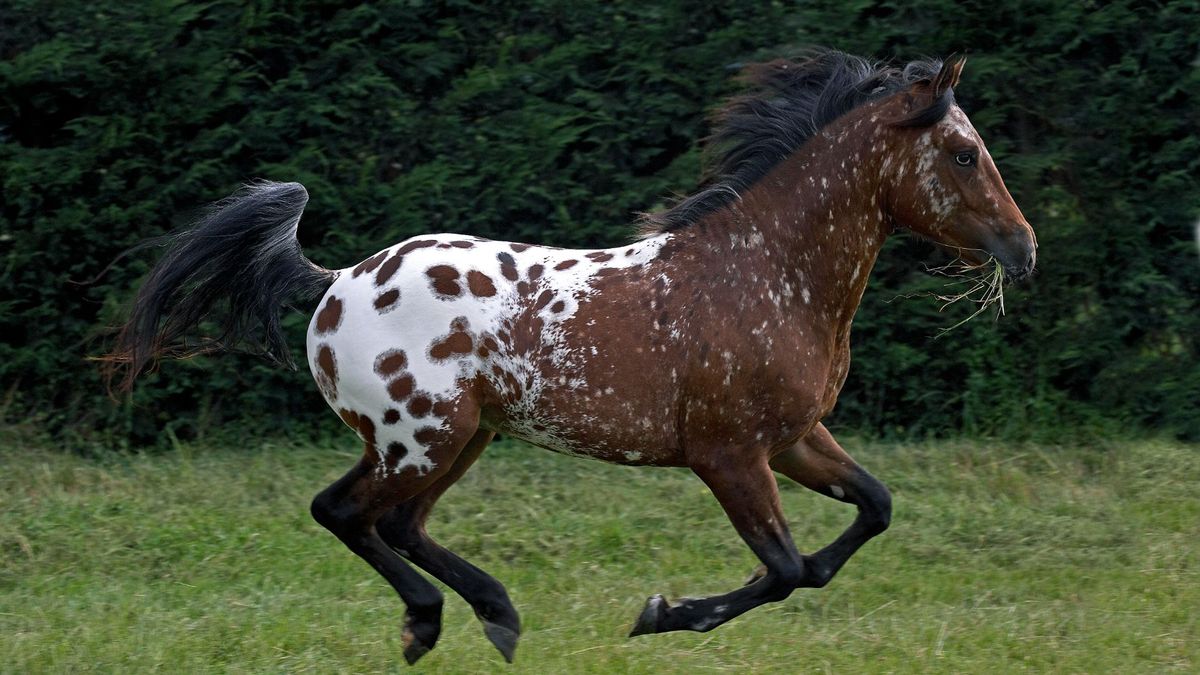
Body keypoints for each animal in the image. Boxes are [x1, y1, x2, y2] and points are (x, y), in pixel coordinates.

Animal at [106, 50, 1037, 664]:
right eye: (963, 152)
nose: (1022, 248)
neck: (767, 272)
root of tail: (336, 281)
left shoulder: (796, 437)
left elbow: (870, 511)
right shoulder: (729, 454)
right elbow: (785, 567)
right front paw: (661, 614)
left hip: (463, 437)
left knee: (395, 523)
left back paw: (489, 615)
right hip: (420, 440)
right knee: (341, 511)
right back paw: (436, 620)